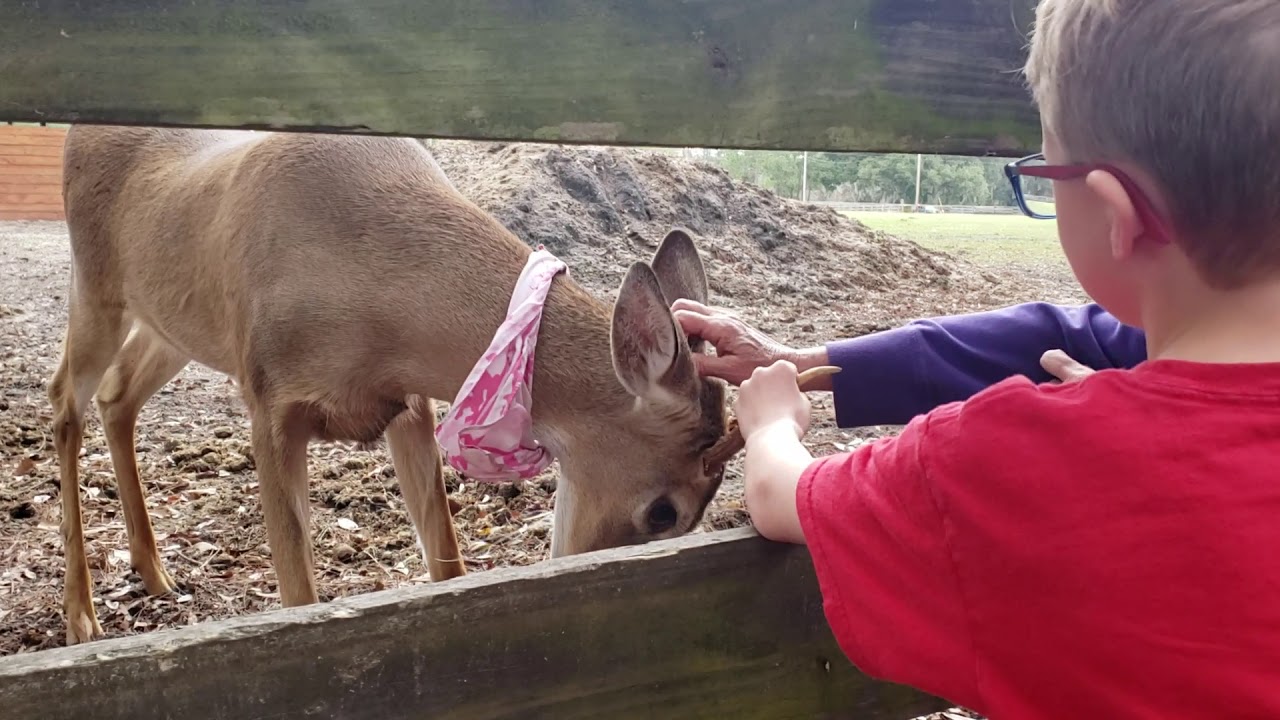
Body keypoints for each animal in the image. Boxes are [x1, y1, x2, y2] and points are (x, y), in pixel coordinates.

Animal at [49, 125, 730, 645]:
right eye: (664, 510)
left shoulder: (407, 405)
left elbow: (446, 563)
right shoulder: (268, 397)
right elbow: (298, 596)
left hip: (173, 324)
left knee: (118, 395)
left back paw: (154, 572)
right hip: (95, 285)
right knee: (63, 398)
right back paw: (81, 616)